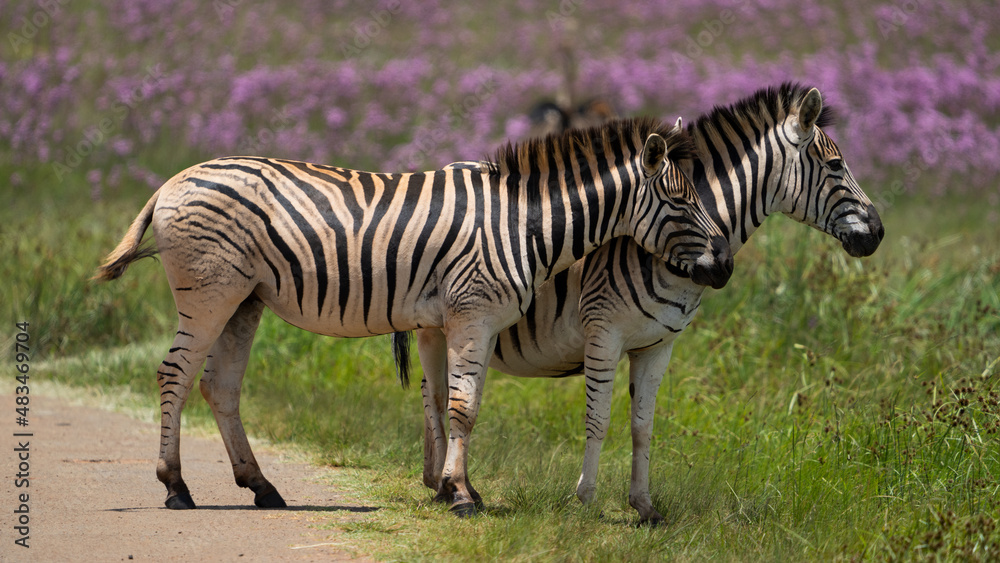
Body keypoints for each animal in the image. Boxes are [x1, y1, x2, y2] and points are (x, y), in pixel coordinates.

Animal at [94, 117, 734, 515]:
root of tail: (171, 181)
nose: (725, 266)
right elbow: (462, 407)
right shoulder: (472, 314)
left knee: (219, 385)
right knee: (174, 375)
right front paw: (463, 498)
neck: (521, 225)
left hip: (244, 298)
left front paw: (456, 489)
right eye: (681, 201)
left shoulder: (455, 320)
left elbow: (456, 403)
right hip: (209, 292)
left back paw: (262, 486)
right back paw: (176, 486)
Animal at [405, 83, 884, 523]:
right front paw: (584, 500)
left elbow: (643, 427)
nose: (879, 234)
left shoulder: (658, 345)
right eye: (836, 166)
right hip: (437, 324)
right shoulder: (603, 333)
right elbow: (598, 420)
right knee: (436, 394)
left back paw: (450, 485)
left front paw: (644, 506)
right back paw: (447, 487)